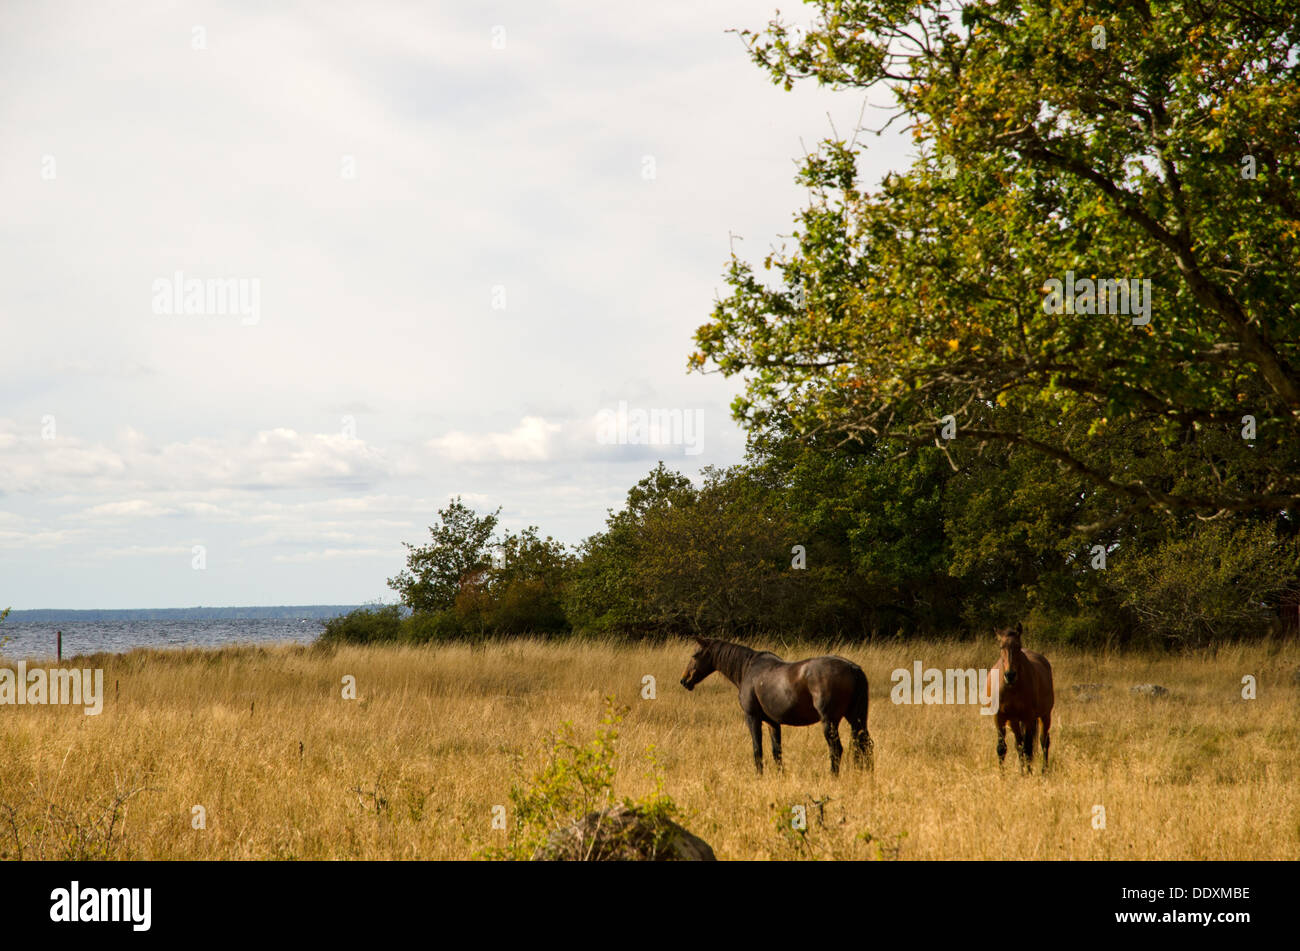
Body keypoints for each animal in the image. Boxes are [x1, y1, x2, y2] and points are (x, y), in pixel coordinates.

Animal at [679, 636, 873, 776]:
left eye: (694, 655)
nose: (684, 680)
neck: (748, 669)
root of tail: (853, 668)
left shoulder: (752, 718)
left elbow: (758, 750)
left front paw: (759, 776)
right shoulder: (773, 723)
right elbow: (776, 752)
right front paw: (780, 776)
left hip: (829, 722)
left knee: (836, 749)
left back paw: (833, 776)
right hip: (856, 719)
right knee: (865, 746)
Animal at [989, 623, 1054, 773]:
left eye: (1018, 646)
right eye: (1001, 647)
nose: (1010, 675)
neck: (1012, 688)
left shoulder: (1028, 717)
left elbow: (1028, 749)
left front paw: (1029, 773)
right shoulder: (999, 718)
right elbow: (1002, 748)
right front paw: (1002, 775)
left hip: (1045, 715)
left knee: (1043, 741)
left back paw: (1044, 771)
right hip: (1013, 721)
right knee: (1018, 744)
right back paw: (1022, 771)